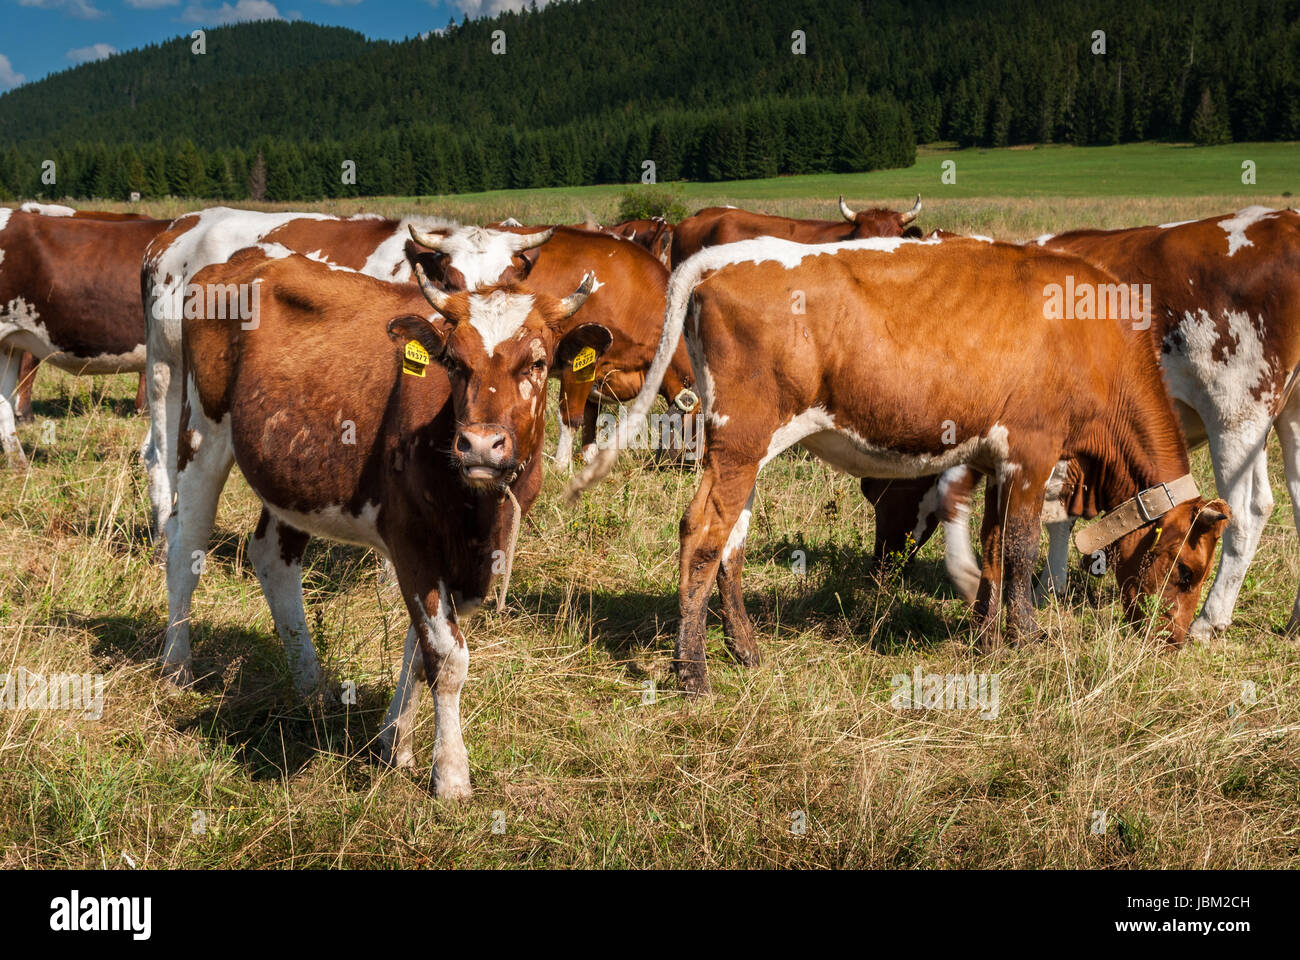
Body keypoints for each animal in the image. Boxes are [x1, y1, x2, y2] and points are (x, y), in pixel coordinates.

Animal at [163, 245, 607, 798]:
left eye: (538, 362)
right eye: (454, 363)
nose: (481, 445)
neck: (479, 509)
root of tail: (245, 258)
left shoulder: (476, 558)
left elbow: (421, 649)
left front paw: (396, 743)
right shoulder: (410, 537)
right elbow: (447, 656)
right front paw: (451, 773)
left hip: (292, 471)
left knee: (271, 557)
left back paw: (310, 685)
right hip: (201, 430)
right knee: (185, 547)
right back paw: (176, 668)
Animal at [568, 234, 1230, 694]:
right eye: (1188, 571)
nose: (1173, 641)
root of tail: (719, 258)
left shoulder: (994, 457)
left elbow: (992, 545)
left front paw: (987, 641)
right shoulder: (1033, 448)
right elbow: (1020, 549)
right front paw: (1027, 639)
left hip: (744, 450)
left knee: (731, 540)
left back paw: (746, 651)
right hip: (741, 439)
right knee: (702, 534)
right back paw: (693, 672)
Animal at [866, 207, 1300, 641]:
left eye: (874, 491)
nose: (881, 566)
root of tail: (1285, 220)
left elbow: (954, 492)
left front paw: (969, 577)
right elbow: (1060, 513)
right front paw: (1049, 587)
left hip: (1235, 414)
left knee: (1248, 511)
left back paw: (1209, 619)